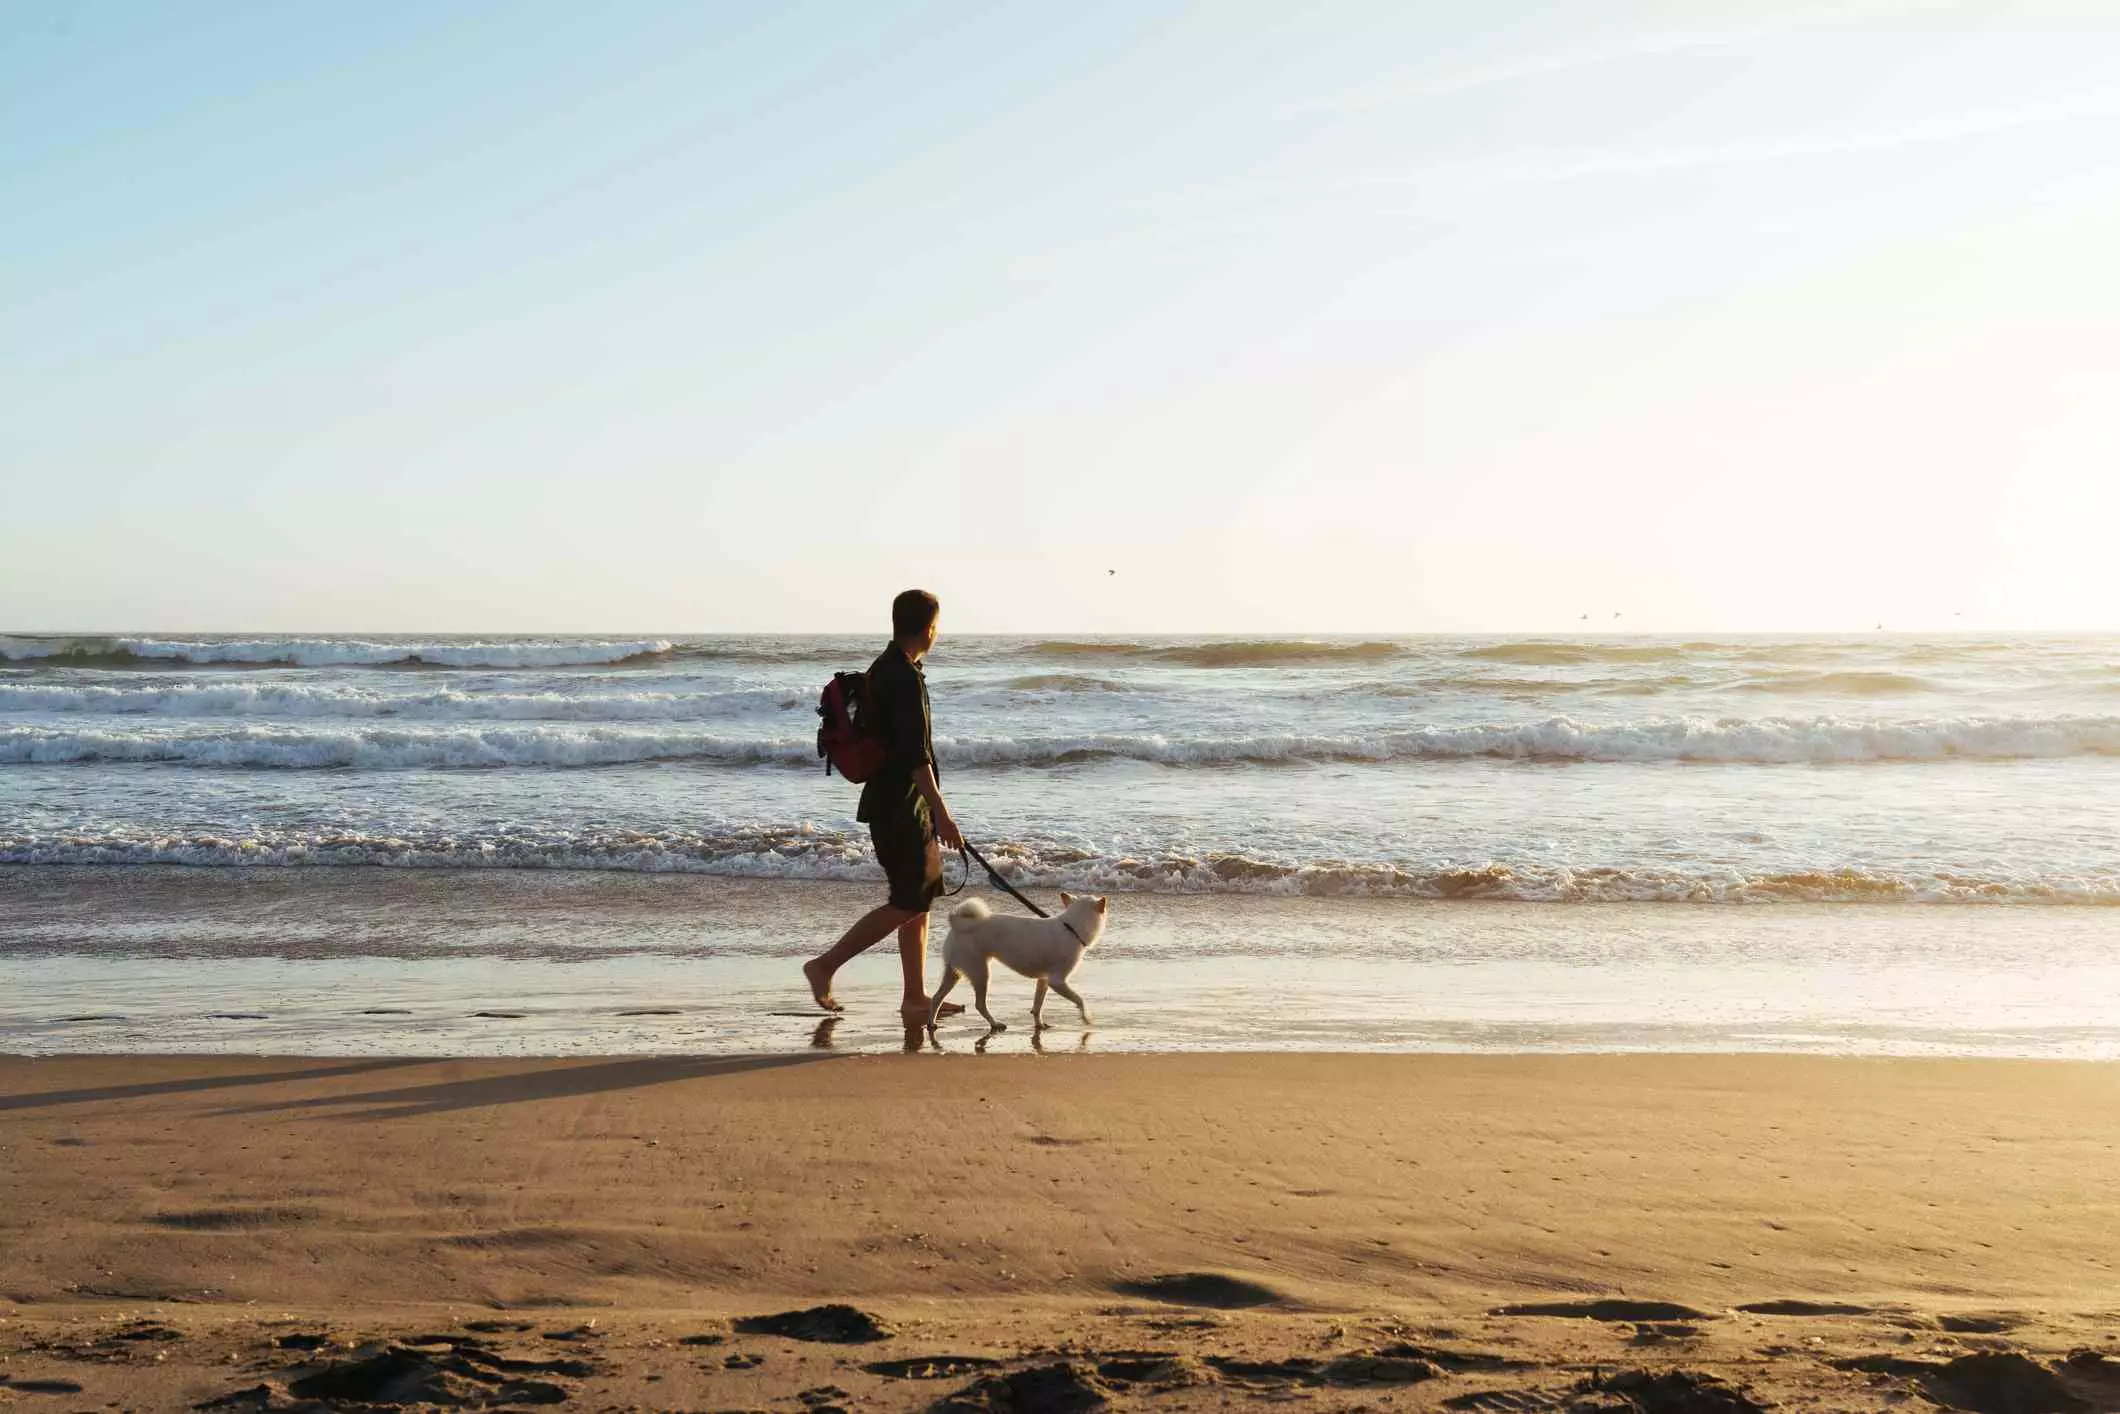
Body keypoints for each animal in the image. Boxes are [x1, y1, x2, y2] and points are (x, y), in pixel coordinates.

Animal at [928, 890, 1110, 1034]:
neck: (1071, 928)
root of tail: (957, 923)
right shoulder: (1057, 982)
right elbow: (1080, 1000)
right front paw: (1086, 1018)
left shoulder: (1043, 980)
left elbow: (1037, 1006)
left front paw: (1039, 1024)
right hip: (980, 973)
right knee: (979, 1004)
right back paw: (994, 1024)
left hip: (953, 972)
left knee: (937, 997)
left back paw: (932, 1023)